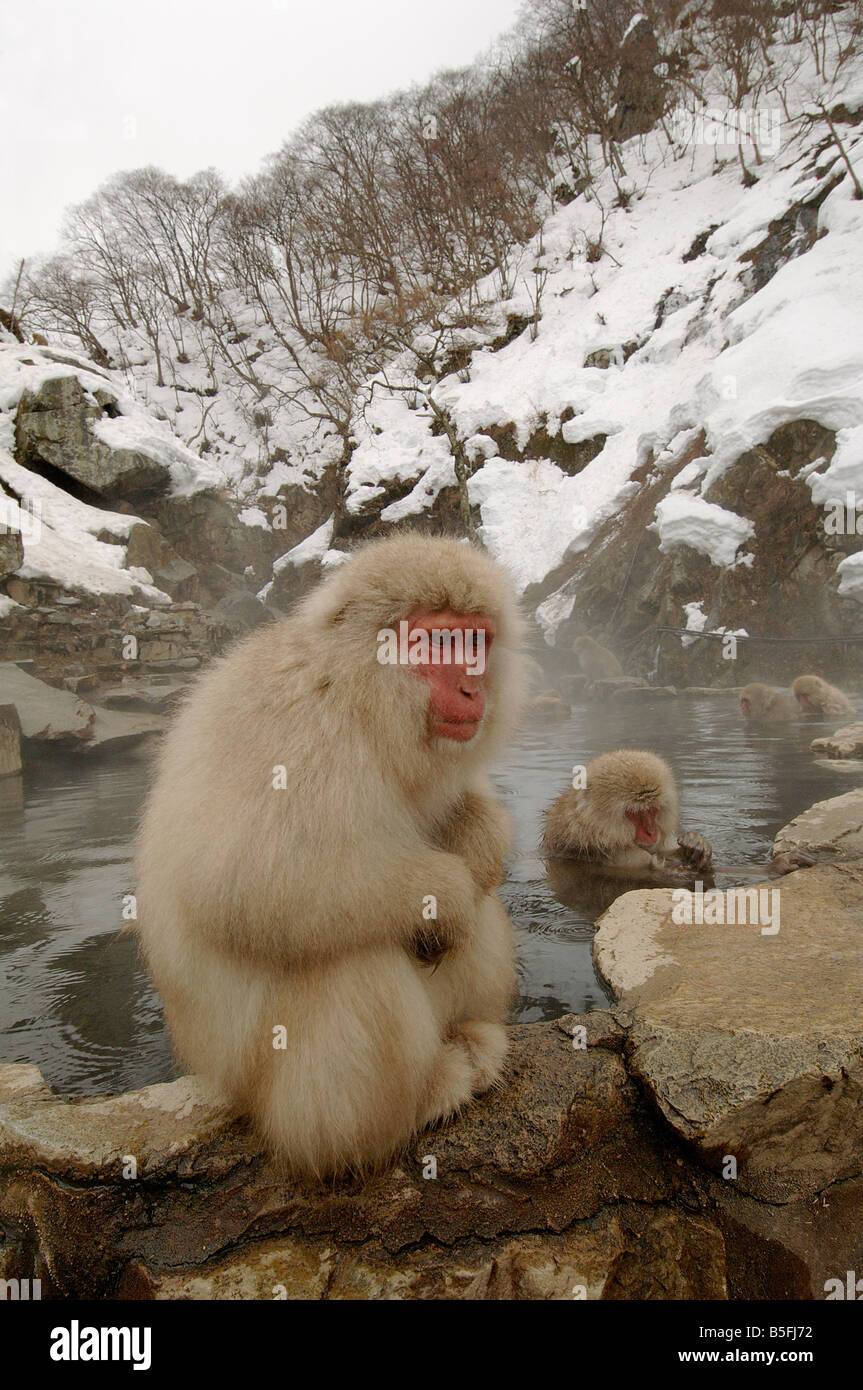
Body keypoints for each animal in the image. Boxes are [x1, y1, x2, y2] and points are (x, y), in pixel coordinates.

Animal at [135, 534, 524, 1180]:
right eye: (442, 643)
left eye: (477, 643)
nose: (475, 688)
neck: (357, 694)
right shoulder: (295, 722)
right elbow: (245, 881)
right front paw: (443, 896)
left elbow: (458, 815)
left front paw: (482, 837)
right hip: (264, 1085)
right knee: (350, 954)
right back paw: (407, 1107)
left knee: (475, 905)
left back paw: (468, 1037)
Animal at [542, 748, 713, 880]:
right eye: (634, 813)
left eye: (652, 809)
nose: (650, 832)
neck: (597, 831)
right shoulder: (619, 856)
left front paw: (696, 845)